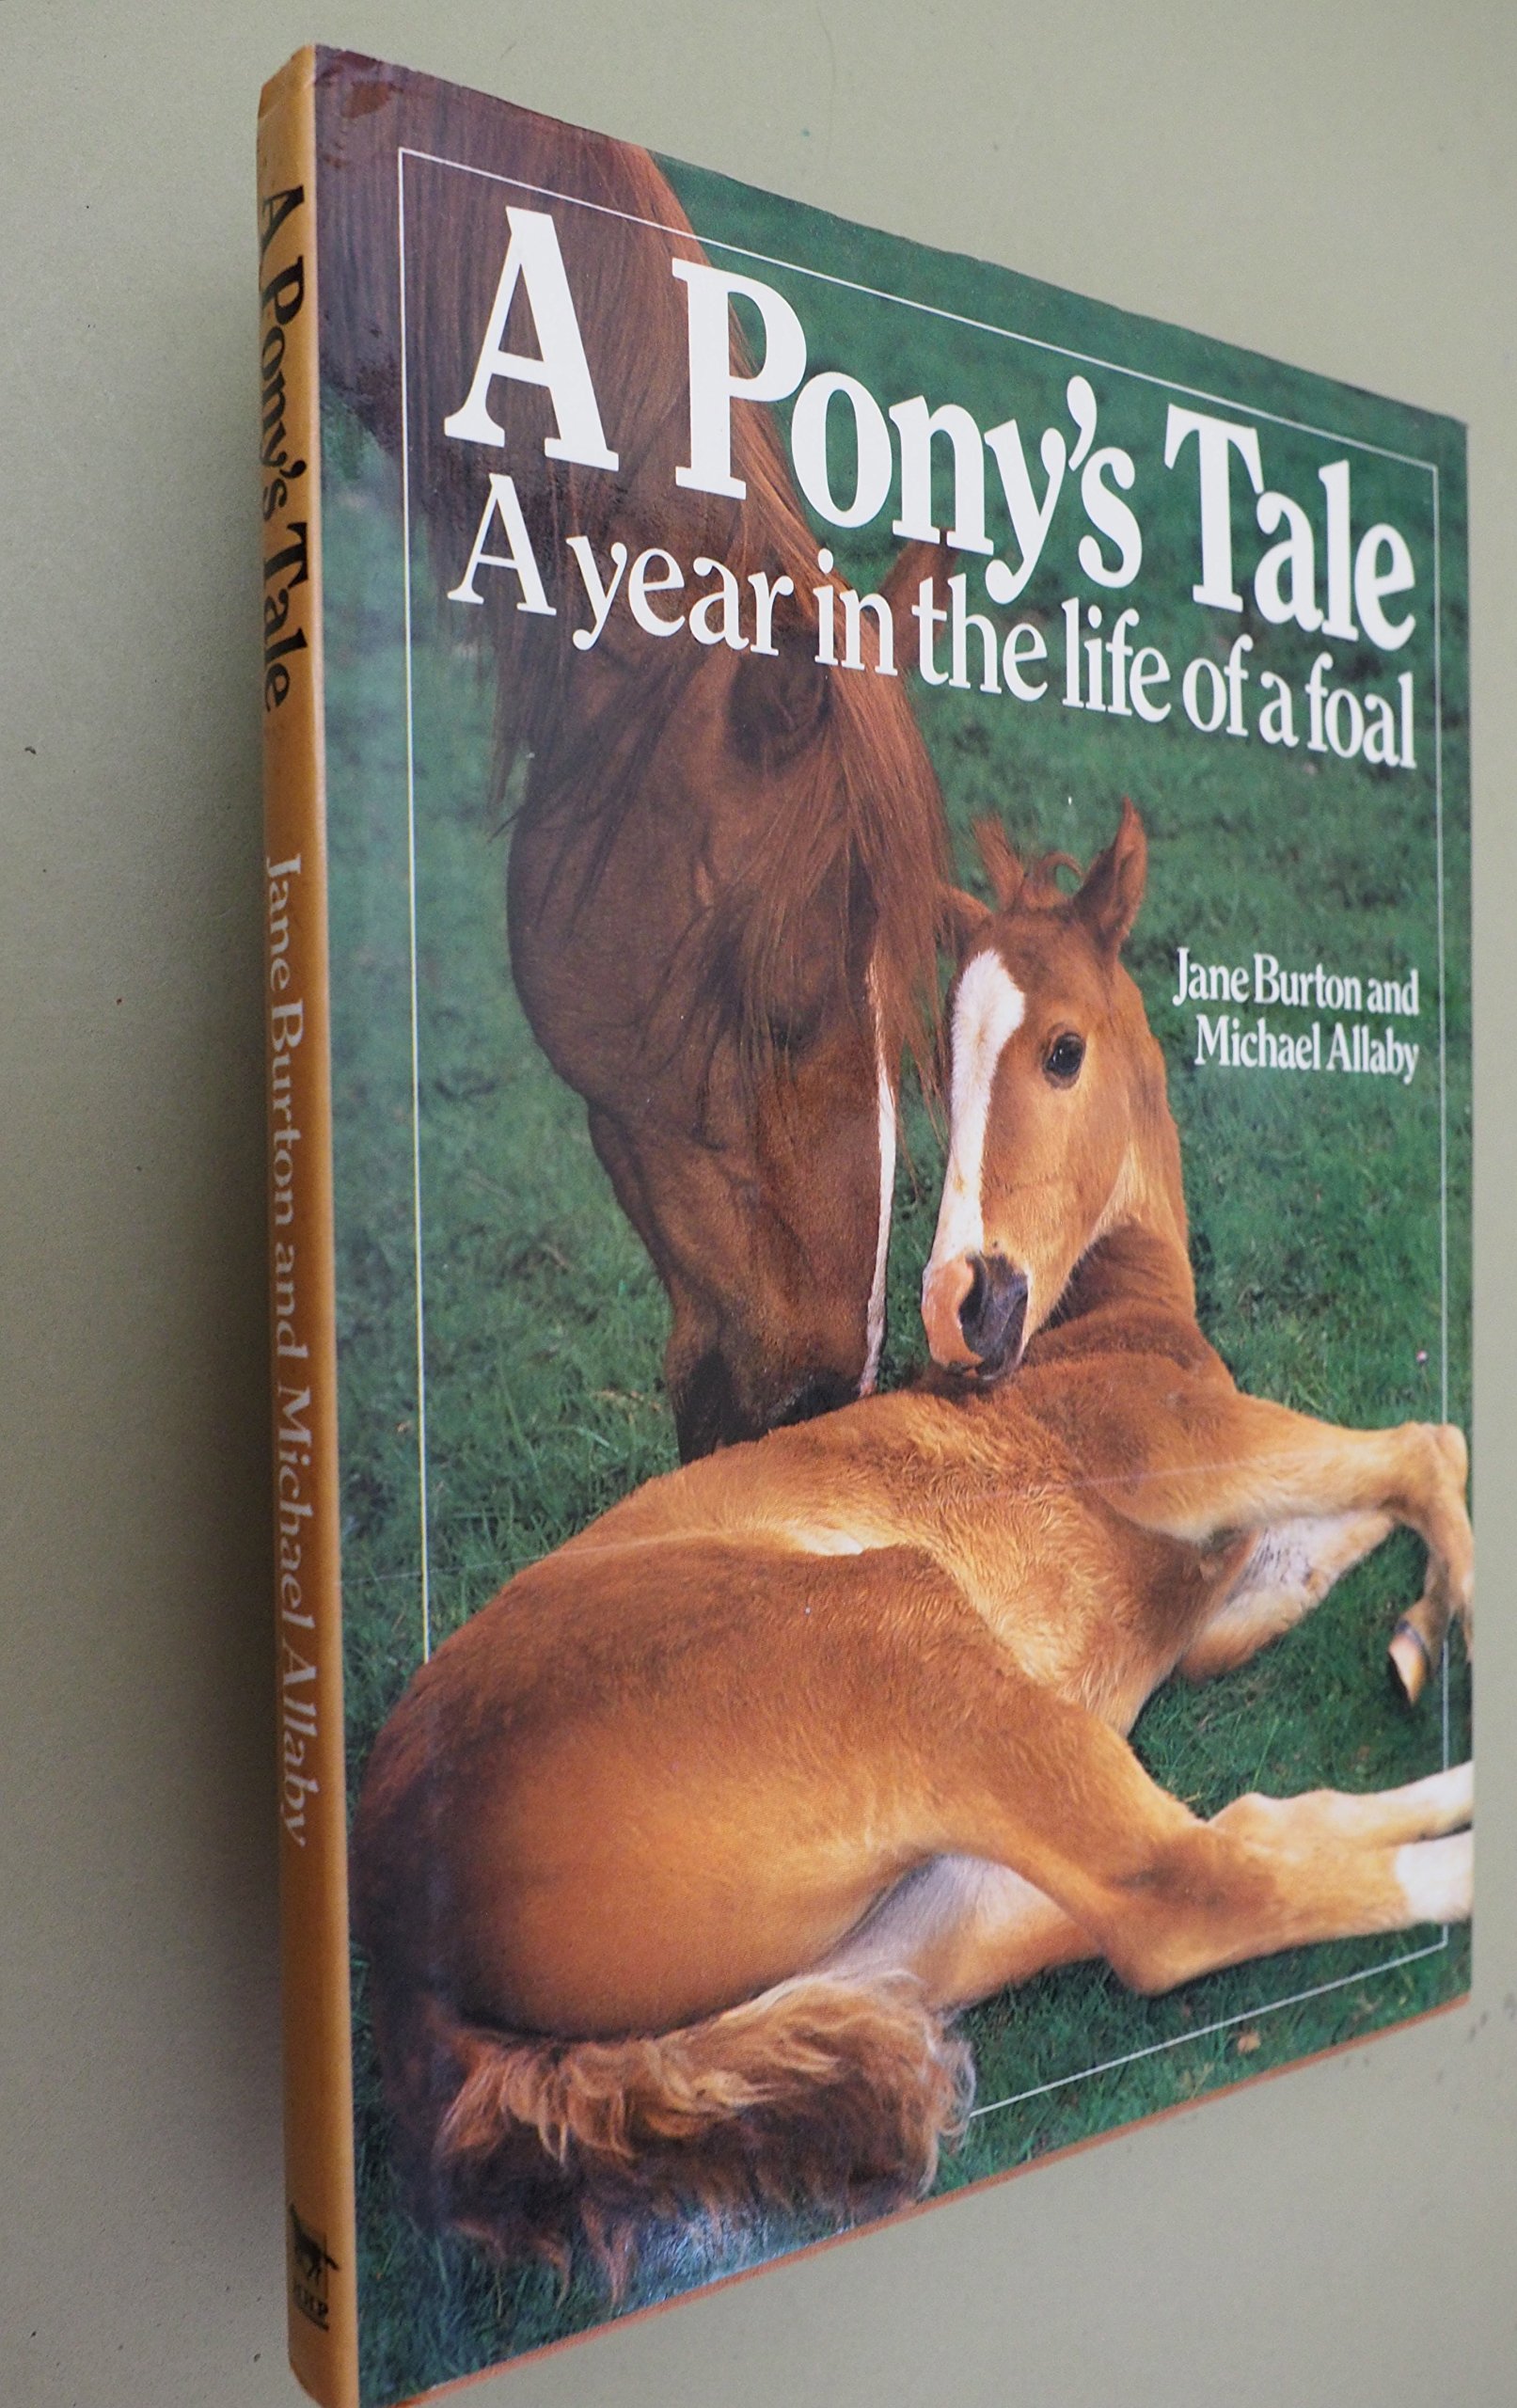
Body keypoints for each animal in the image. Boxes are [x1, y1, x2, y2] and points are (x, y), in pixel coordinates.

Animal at [350, 798, 1472, 2284]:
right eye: (940, 1065)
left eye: (1060, 1048)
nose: (964, 1306)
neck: (1100, 1324)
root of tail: (394, 1944)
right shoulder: (1182, 1447)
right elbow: (1424, 1446)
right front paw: (1452, 1614)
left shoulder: (1215, 1589)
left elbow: (1357, 1512)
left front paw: (1412, 1638)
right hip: (902, 1645)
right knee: (1182, 1891)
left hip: (905, 1922)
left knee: (1206, 1855)